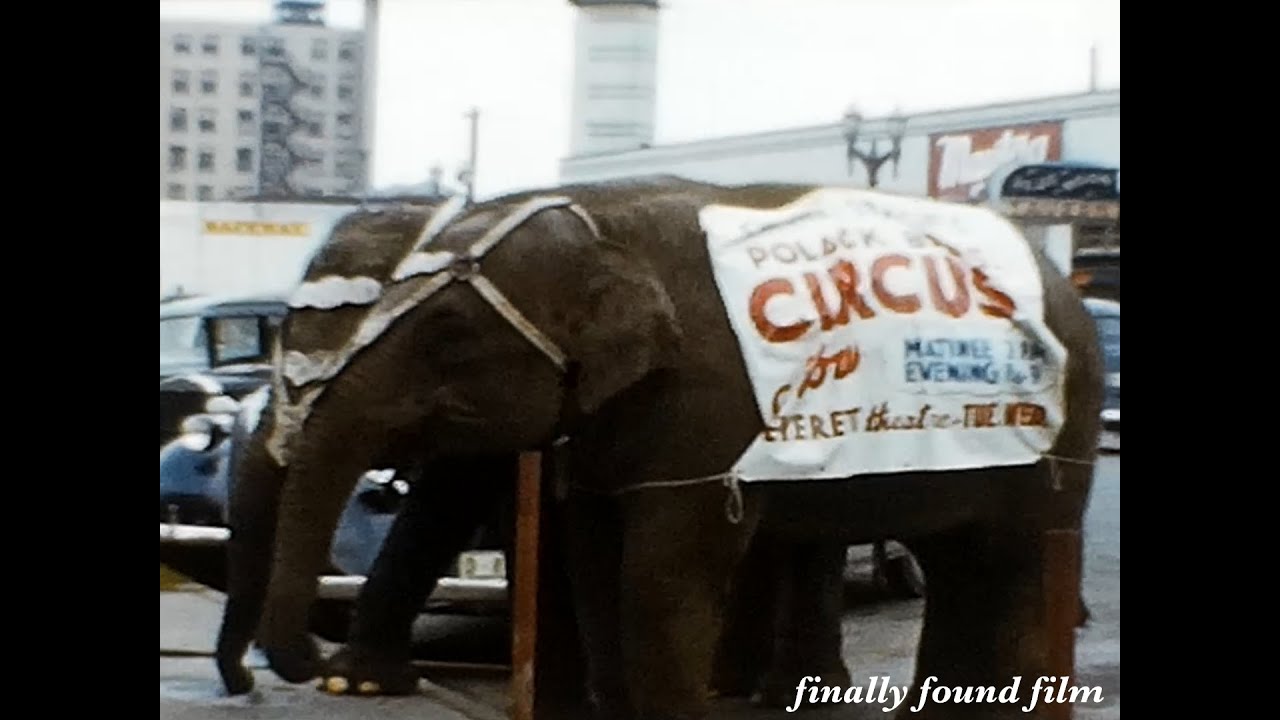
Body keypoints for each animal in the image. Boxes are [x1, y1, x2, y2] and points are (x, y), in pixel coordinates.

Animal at [228, 176, 1102, 720]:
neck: (606, 222)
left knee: (1012, 557)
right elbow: (594, 558)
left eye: (446, 333)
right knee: (959, 561)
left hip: (1063, 431)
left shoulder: (710, 399)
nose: (276, 671)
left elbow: (660, 573)